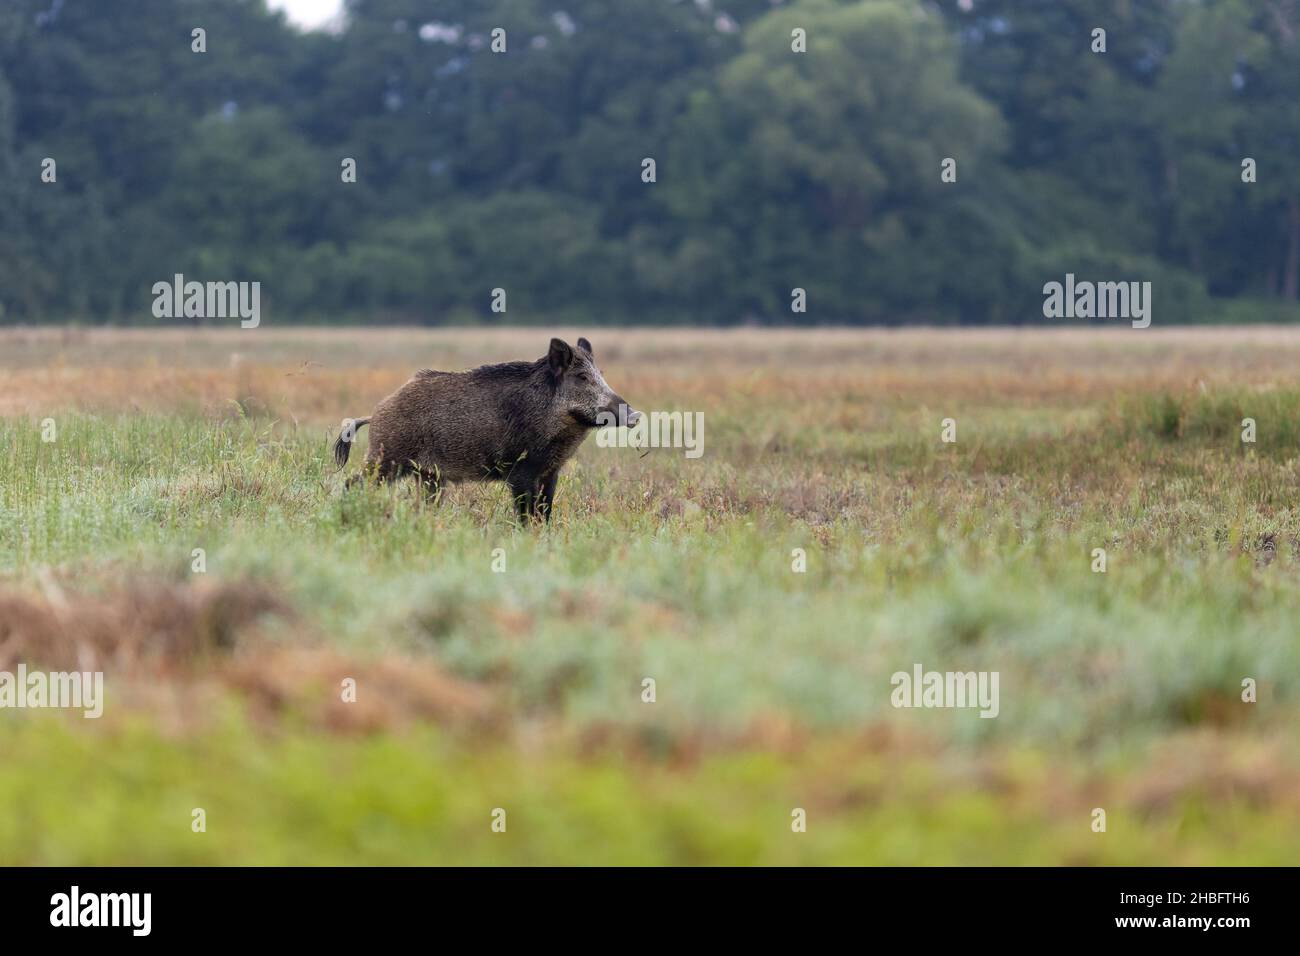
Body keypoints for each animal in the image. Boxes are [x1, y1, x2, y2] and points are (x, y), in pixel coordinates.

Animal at [333, 337, 640, 524]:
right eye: (582, 376)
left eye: (601, 373)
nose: (635, 414)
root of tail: (375, 413)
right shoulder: (520, 470)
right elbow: (525, 513)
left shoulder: (550, 471)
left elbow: (545, 512)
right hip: (386, 459)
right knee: (352, 482)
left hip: (429, 476)